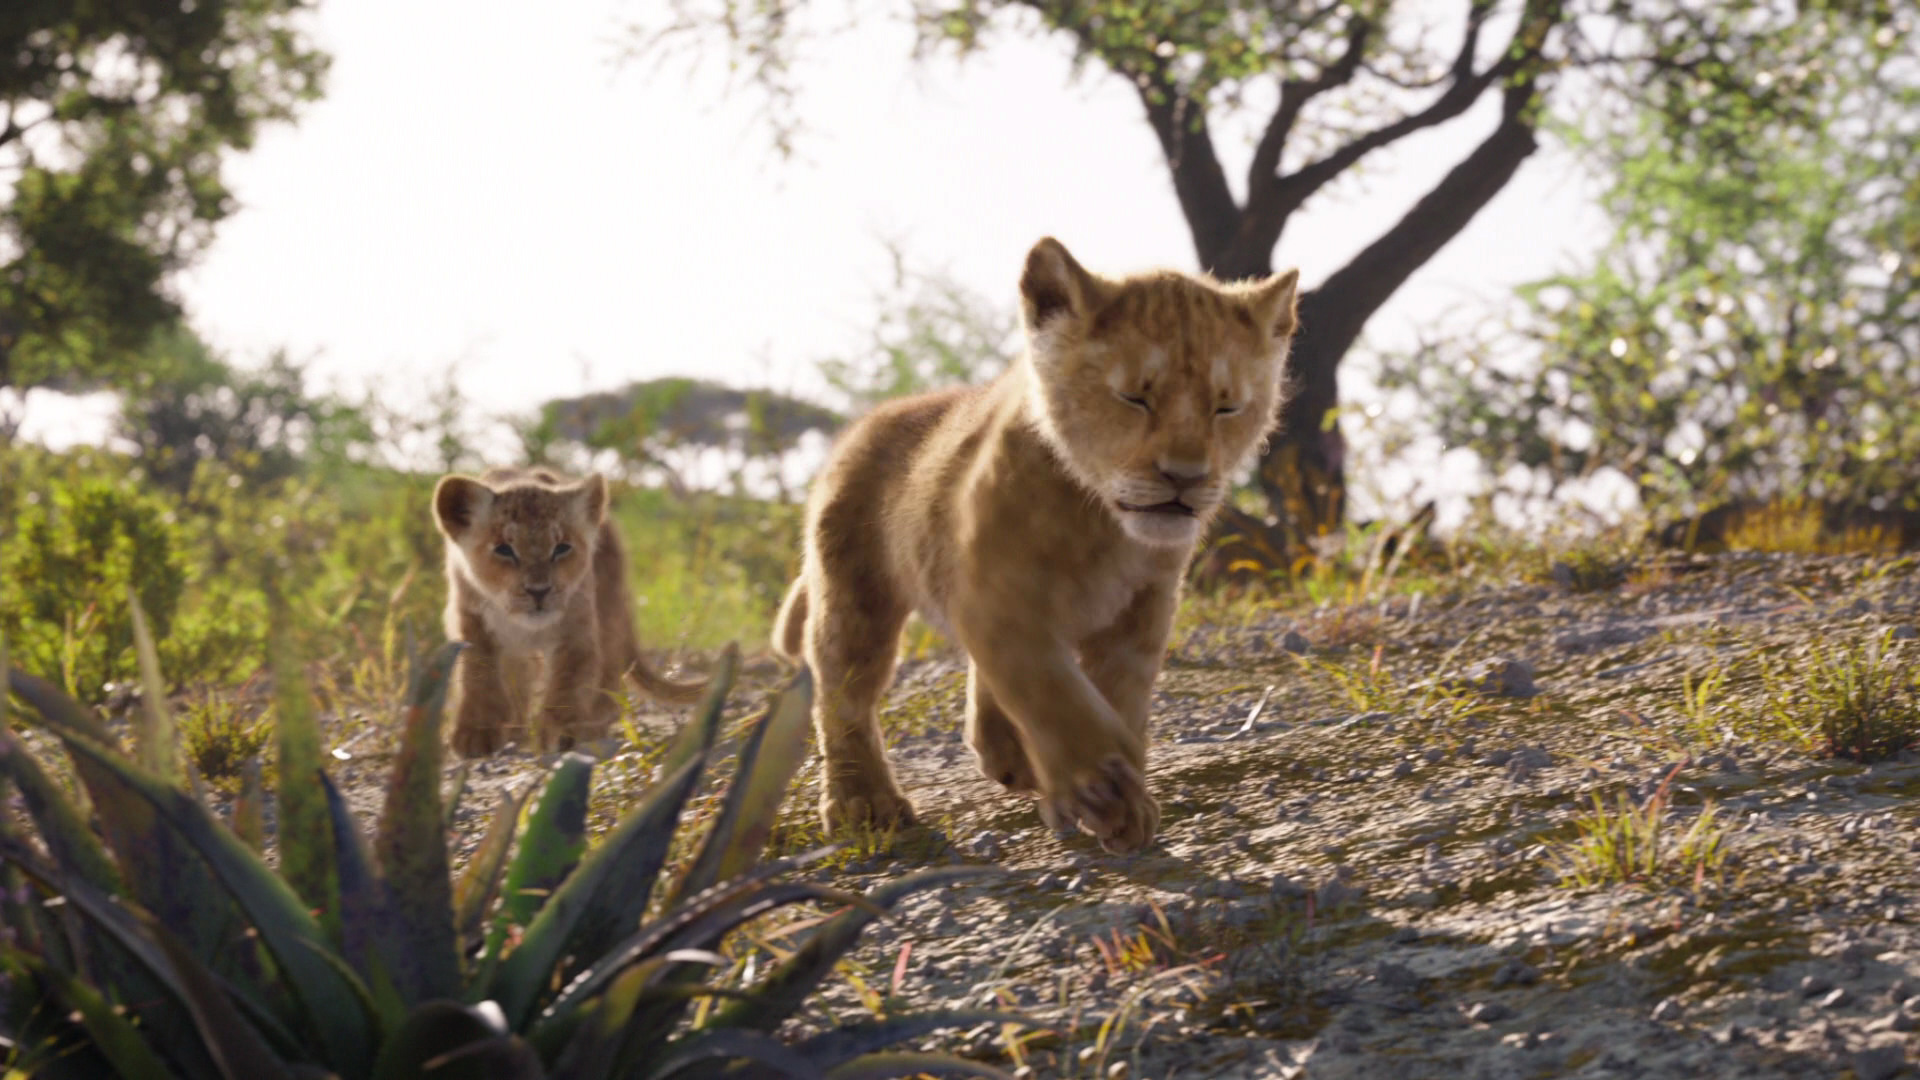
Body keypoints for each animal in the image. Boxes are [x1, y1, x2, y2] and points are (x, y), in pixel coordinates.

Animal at [432, 467, 706, 756]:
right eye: (504, 549)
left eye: (561, 547)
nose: (539, 591)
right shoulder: (471, 621)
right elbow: (478, 675)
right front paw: (475, 734)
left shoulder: (576, 626)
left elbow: (569, 679)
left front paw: (559, 734)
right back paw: (517, 730)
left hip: (608, 608)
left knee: (609, 674)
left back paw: (593, 723)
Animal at [772, 237, 1300, 853]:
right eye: (1133, 398)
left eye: (1227, 407)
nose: (1185, 478)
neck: (1100, 521)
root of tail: (863, 426)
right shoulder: (998, 594)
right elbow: (1053, 693)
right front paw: (1104, 792)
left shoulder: (1145, 605)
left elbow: (1118, 696)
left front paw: (1116, 790)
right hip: (856, 597)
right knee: (844, 693)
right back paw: (864, 804)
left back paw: (1010, 759)